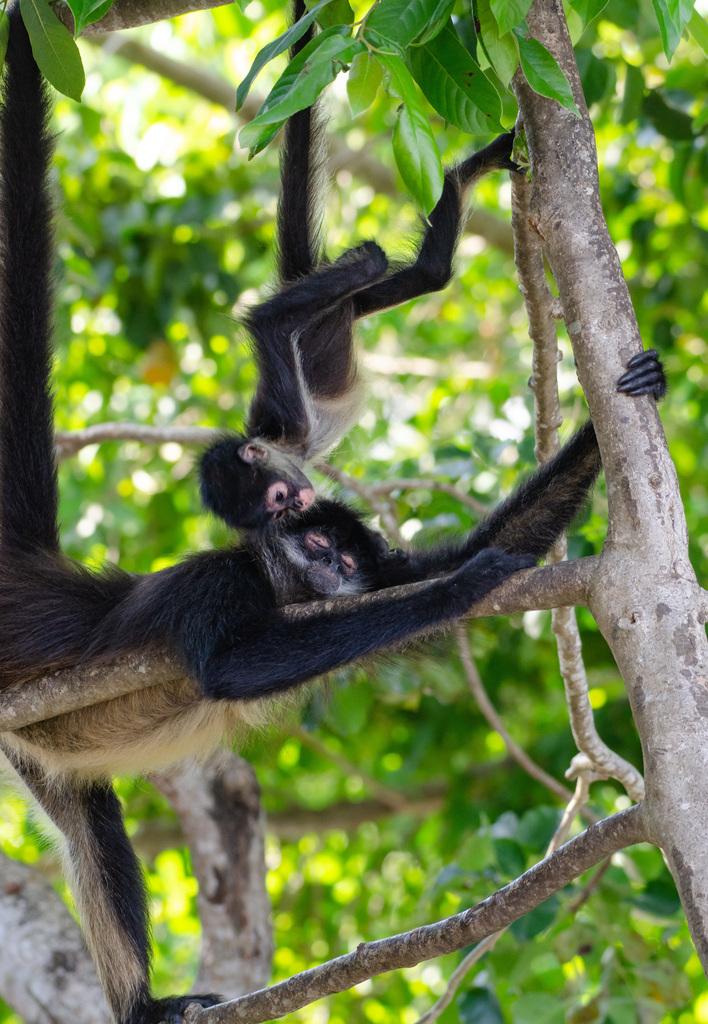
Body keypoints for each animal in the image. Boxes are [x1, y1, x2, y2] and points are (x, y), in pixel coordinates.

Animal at [198, 0, 521, 532]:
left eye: (280, 495)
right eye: (275, 508)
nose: (299, 505)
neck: (285, 443)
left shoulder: (291, 415)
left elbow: (264, 321)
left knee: (384, 266)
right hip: (348, 307)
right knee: (430, 272)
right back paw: (462, 175)